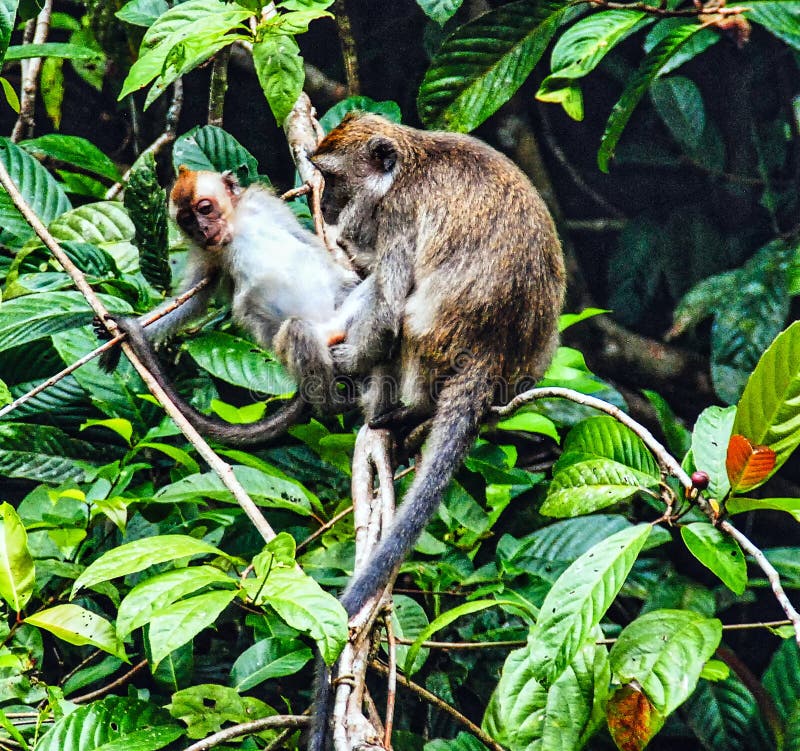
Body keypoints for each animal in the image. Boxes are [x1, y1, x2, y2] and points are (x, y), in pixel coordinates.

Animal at [102, 167, 366, 443]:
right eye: (187, 220)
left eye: (205, 209)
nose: (202, 229)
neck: (235, 229)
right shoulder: (205, 252)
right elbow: (193, 301)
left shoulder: (264, 204)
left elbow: (308, 242)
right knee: (298, 330)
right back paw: (331, 405)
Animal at [302, 112, 566, 750]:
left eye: (334, 181)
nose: (333, 215)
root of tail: (493, 359)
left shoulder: (396, 221)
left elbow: (386, 312)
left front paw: (343, 362)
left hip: (441, 340)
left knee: (406, 320)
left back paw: (396, 411)